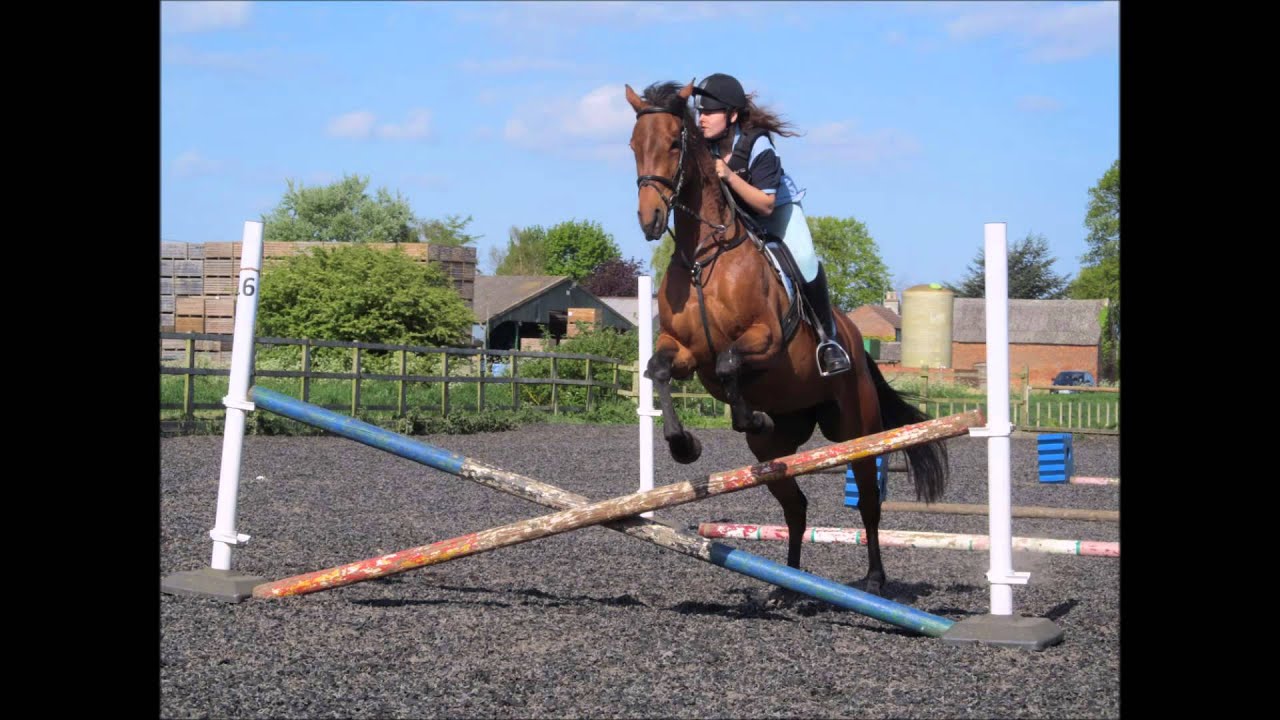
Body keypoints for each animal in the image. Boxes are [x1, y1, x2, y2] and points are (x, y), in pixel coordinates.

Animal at [625, 80, 949, 597]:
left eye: (675, 143)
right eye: (634, 146)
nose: (650, 219)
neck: (703, 256)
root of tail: (856, 341)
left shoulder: (766, 339)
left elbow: (728, 362)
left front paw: (749, 416)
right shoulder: (684, 350)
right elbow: (659, 371)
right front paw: (683, 445)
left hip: (855, 429)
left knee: (868, 500)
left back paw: (875, 579)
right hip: (774, 452)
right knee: (795, 505)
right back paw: (788, 583)